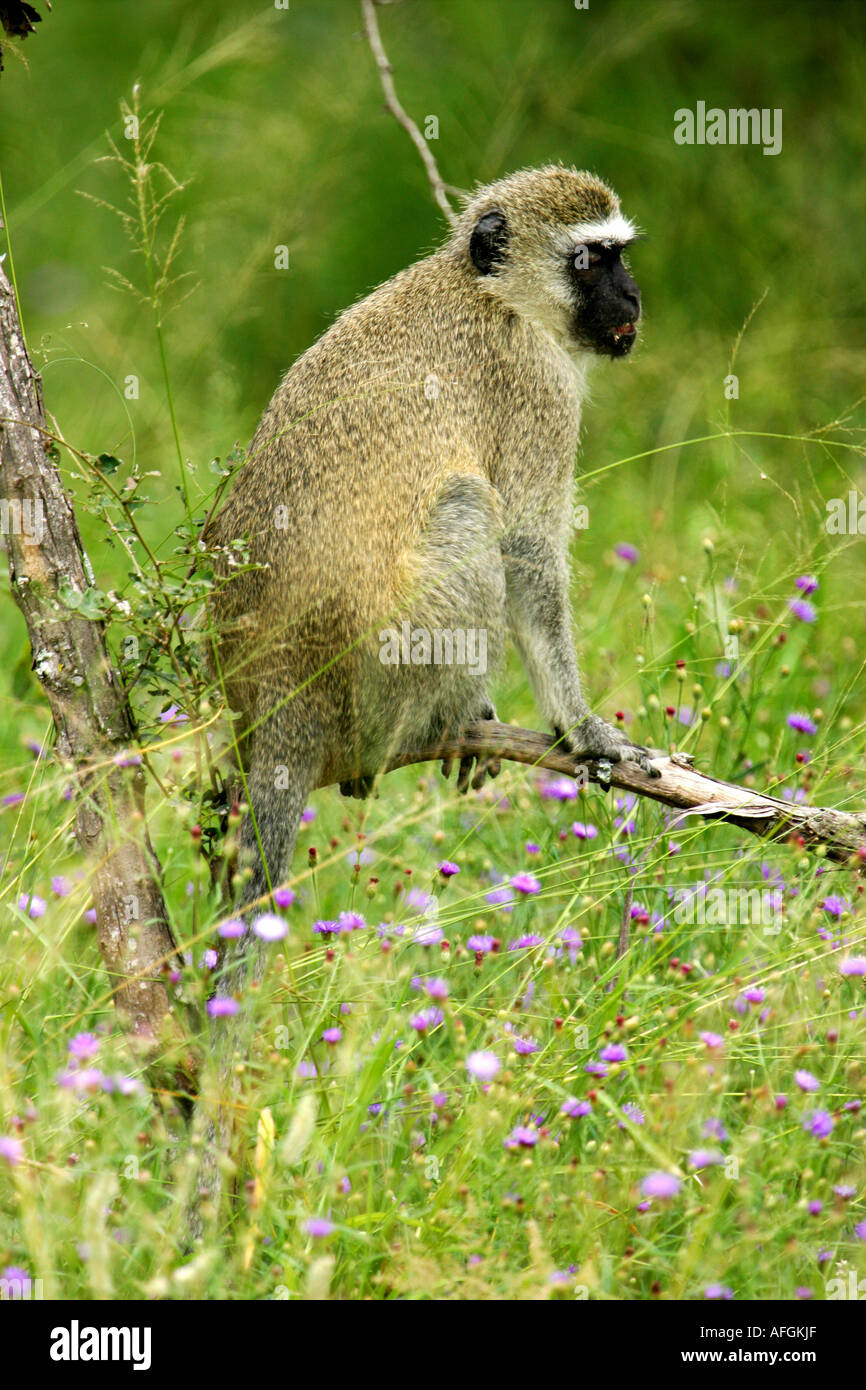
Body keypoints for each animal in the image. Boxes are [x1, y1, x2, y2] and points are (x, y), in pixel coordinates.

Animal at [203, 163, 657, 934]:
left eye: (618, 255)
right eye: (588, 261)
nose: (632, 297)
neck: (491, 293)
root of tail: (284, 687)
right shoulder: (538, 387)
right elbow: (527, 549)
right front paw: (582, 727)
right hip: (388, 672)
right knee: (468, 507)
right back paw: (452, 715)